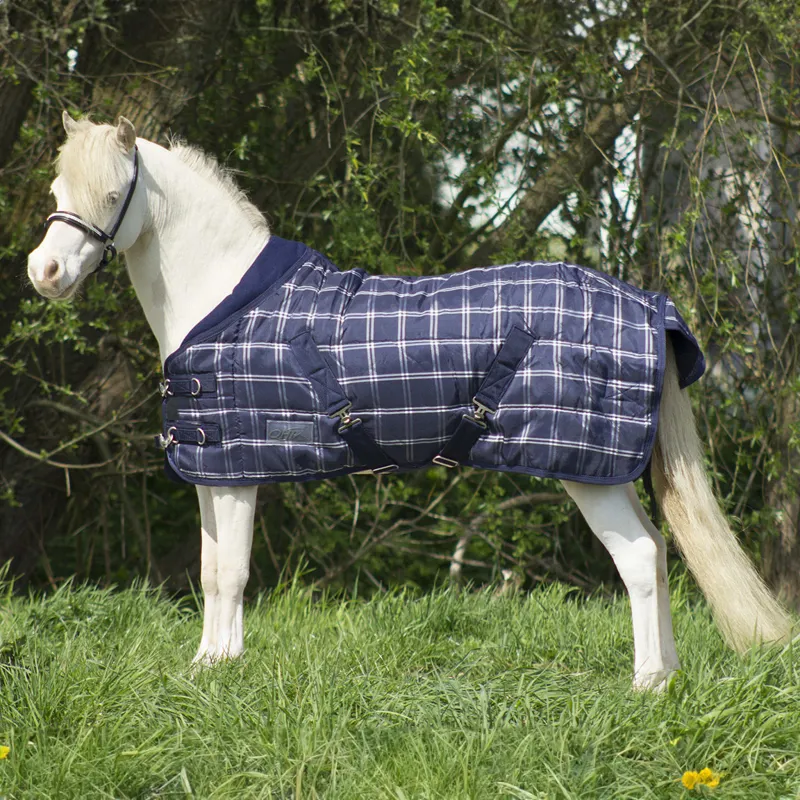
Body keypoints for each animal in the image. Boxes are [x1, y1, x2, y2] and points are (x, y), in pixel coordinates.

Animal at [27, 112, 793, 690]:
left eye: (113, 194)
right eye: (58, 185)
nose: (45, 272)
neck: (226, 300)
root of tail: (652, 308)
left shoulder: (239, 473)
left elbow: (231, 573)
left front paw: (222, 669)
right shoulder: (214, 471)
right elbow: (214, 572)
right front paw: (208, 665)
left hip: (585, 473)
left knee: (635, 558)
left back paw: (646, 685)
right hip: (603, 467)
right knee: (660, 553)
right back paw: (669, 674)